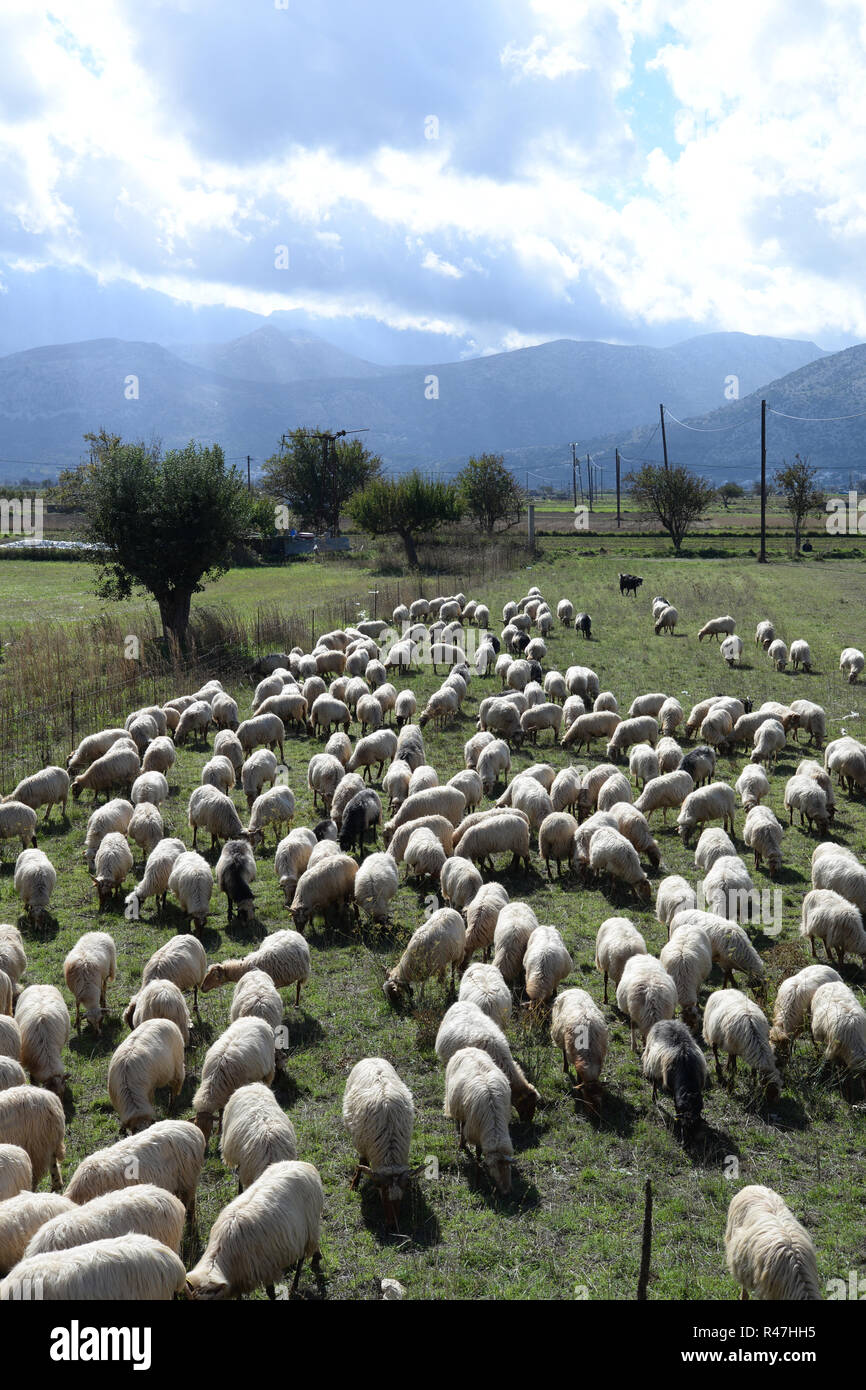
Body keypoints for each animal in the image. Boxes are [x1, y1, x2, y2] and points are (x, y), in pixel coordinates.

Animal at [186, 1159, 323, 1299]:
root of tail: (303, 1164)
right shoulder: (238, 1279)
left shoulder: (266, 1268)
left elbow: (270, 1292)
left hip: (308, 1229)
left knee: (302, 1259)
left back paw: (294, 1286)